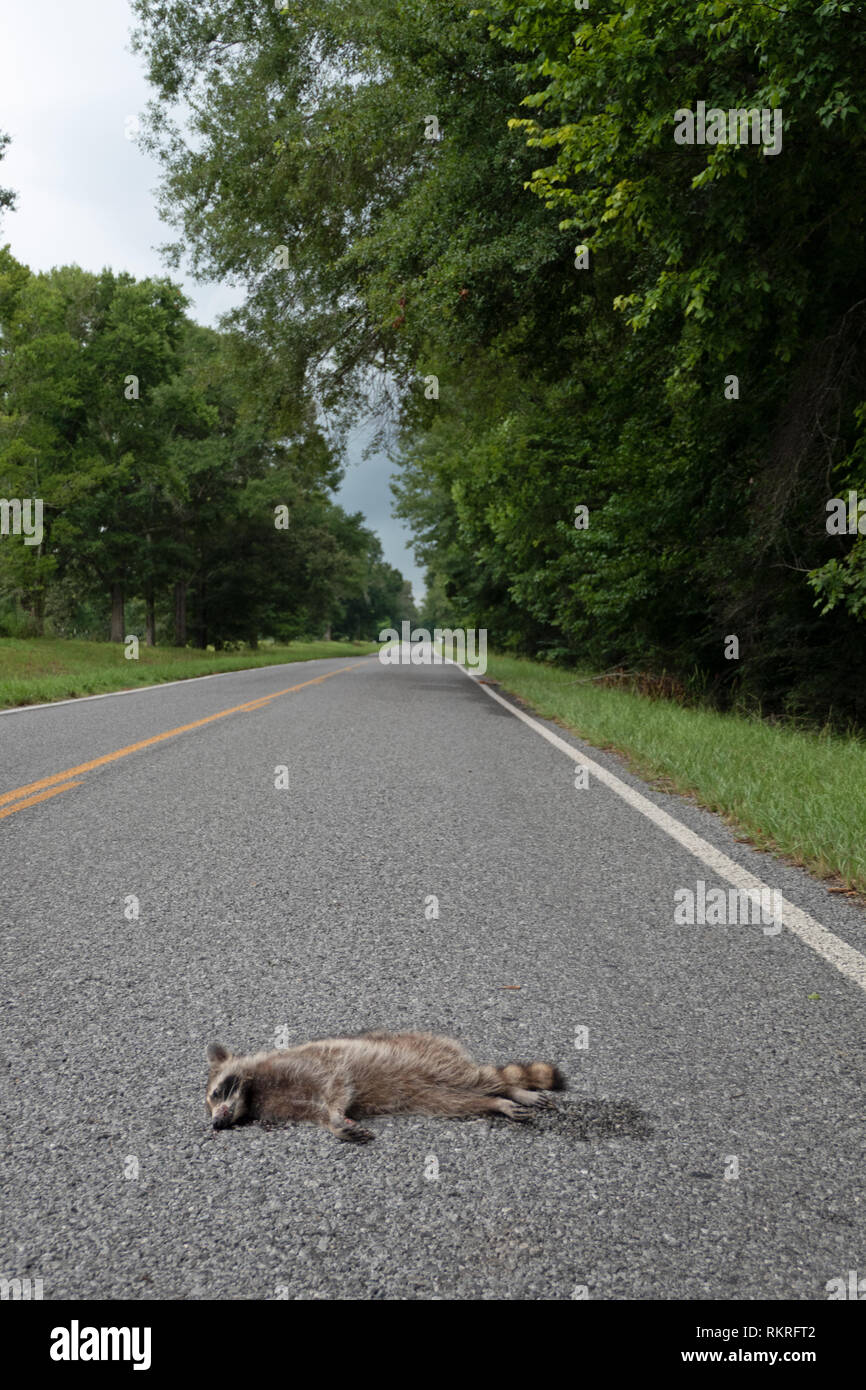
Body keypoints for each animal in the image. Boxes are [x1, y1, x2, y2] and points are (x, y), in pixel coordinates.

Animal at [205, 1029, 566, 1142]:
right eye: (209, 1104)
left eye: (216, 1092)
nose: (216, 1122)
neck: (254, 1092)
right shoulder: (285, 1105)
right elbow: (316, 1114)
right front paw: (333, 1123)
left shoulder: (311, 1064)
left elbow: (336, 1082)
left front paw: (335, 1115)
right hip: (430, 1095)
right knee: (460, 1102)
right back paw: (497, 1103)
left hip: (433, 1058)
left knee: (483, 1078)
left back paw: (511, 1090)